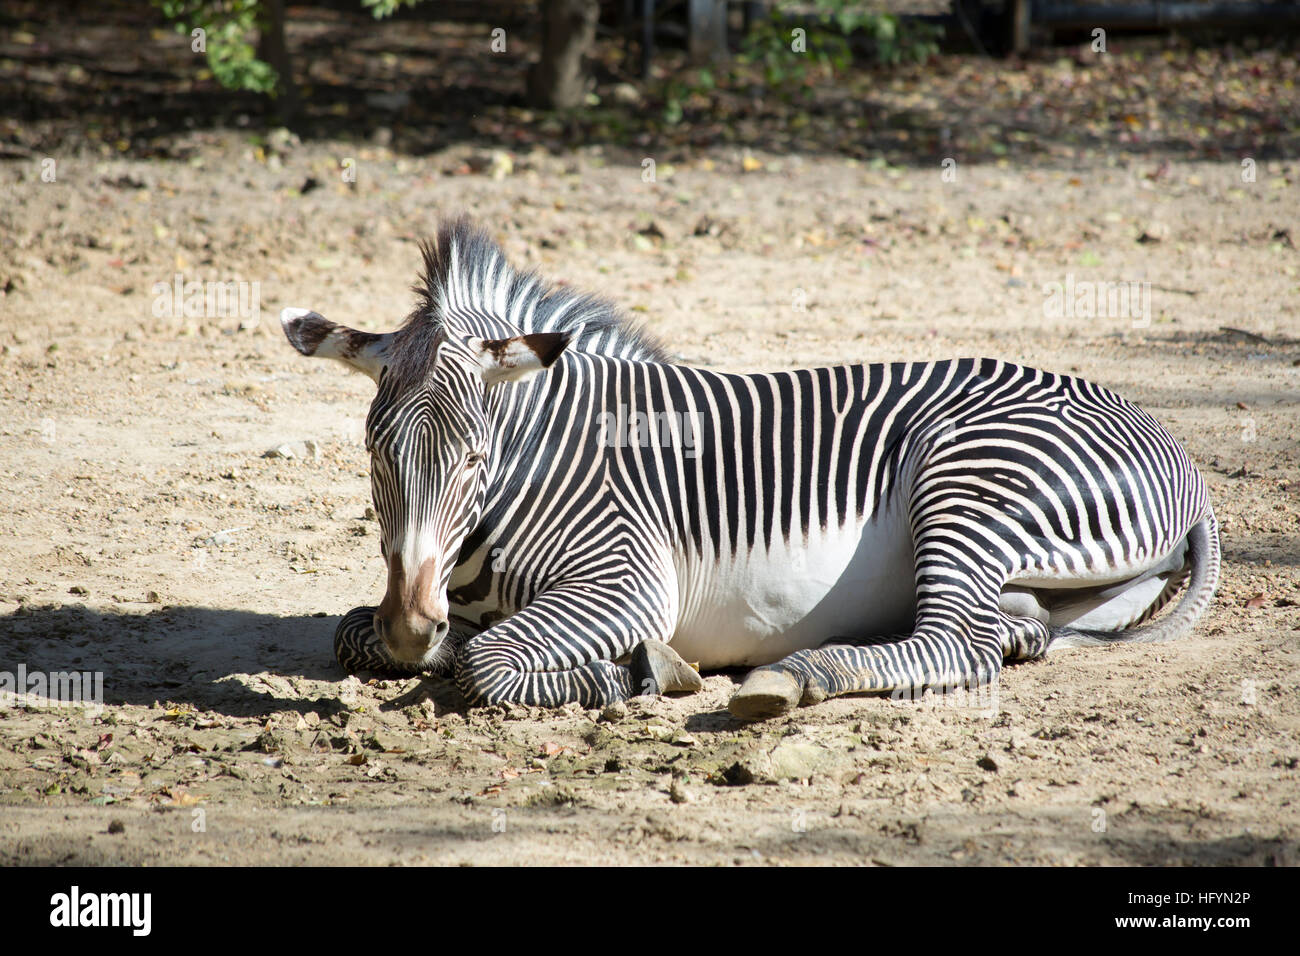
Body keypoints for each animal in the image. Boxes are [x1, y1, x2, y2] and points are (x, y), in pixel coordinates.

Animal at [280, 219, 1220, 721]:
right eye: (374, 454)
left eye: (475, 457)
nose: (414, 623)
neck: (536, 459)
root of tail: (1163, 436)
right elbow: (355, 631)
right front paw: (415, 643)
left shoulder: (626, 579)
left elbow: (485, 664)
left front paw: (634, 672)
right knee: (998, 629)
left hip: (966, 477)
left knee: (957, 640)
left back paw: (796, 675)